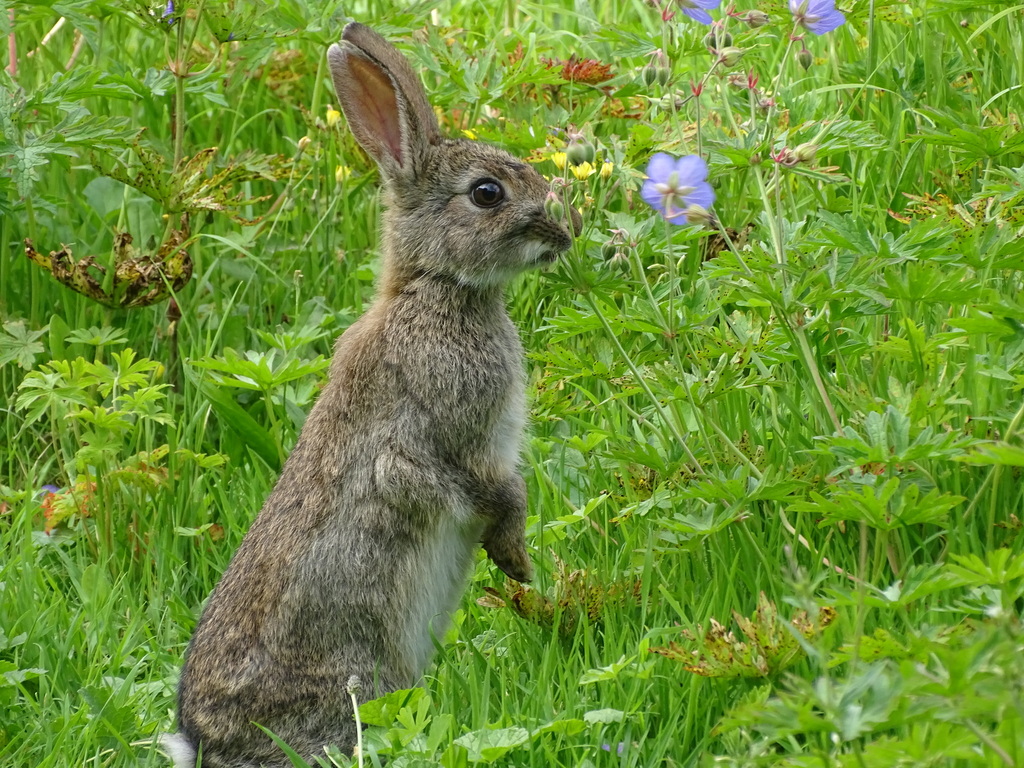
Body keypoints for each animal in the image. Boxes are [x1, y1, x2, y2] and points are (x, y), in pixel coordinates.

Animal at [163, 21, 580, 768]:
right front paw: (519, 566)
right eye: (487, 193)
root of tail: (201, 742)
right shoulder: (461, 438)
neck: (432, 287)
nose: (564, 232)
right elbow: (497, 495)